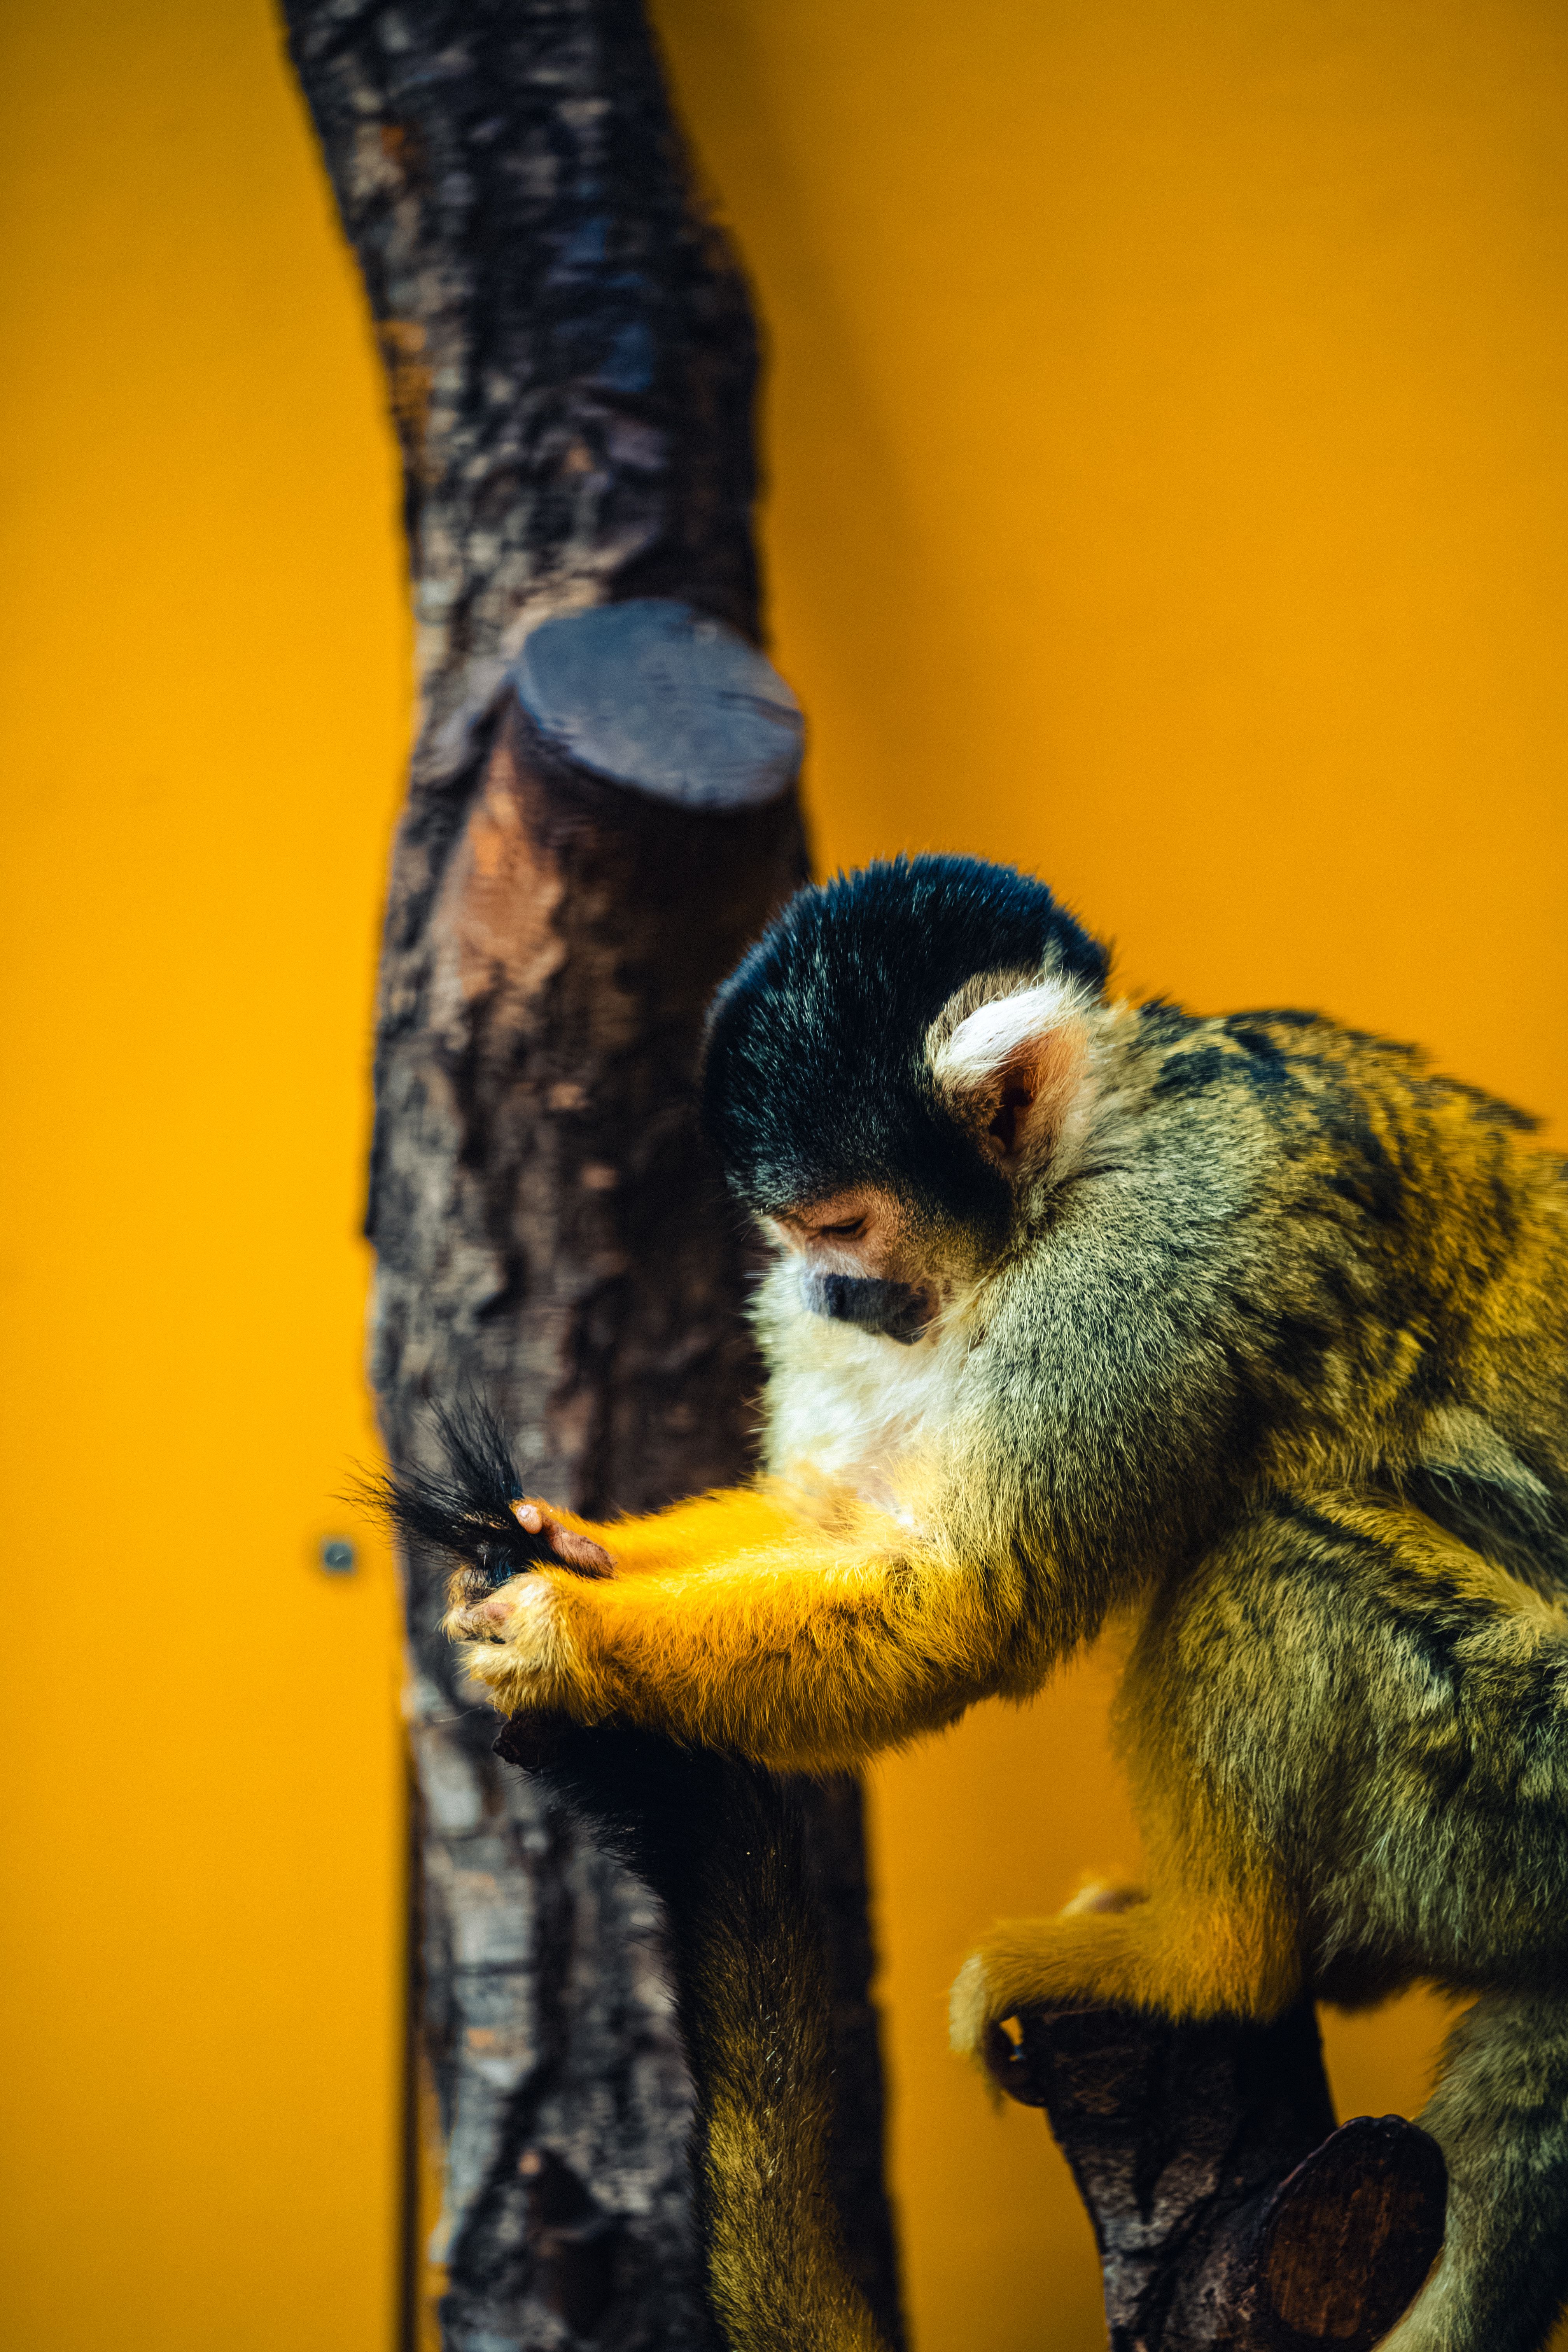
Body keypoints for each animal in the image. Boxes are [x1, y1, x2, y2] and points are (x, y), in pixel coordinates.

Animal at [392, 854, 1568, 2352]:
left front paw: (567, 1637)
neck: (1089, 1147)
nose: (823, 1287)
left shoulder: (1138, 1259)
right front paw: (572, 1550)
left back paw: (1212, 1959)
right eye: (797, 1238)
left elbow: (969, 1599)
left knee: (1272, 1559)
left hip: (1525, 1781)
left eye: (842, 1224)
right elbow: (853, 1523)